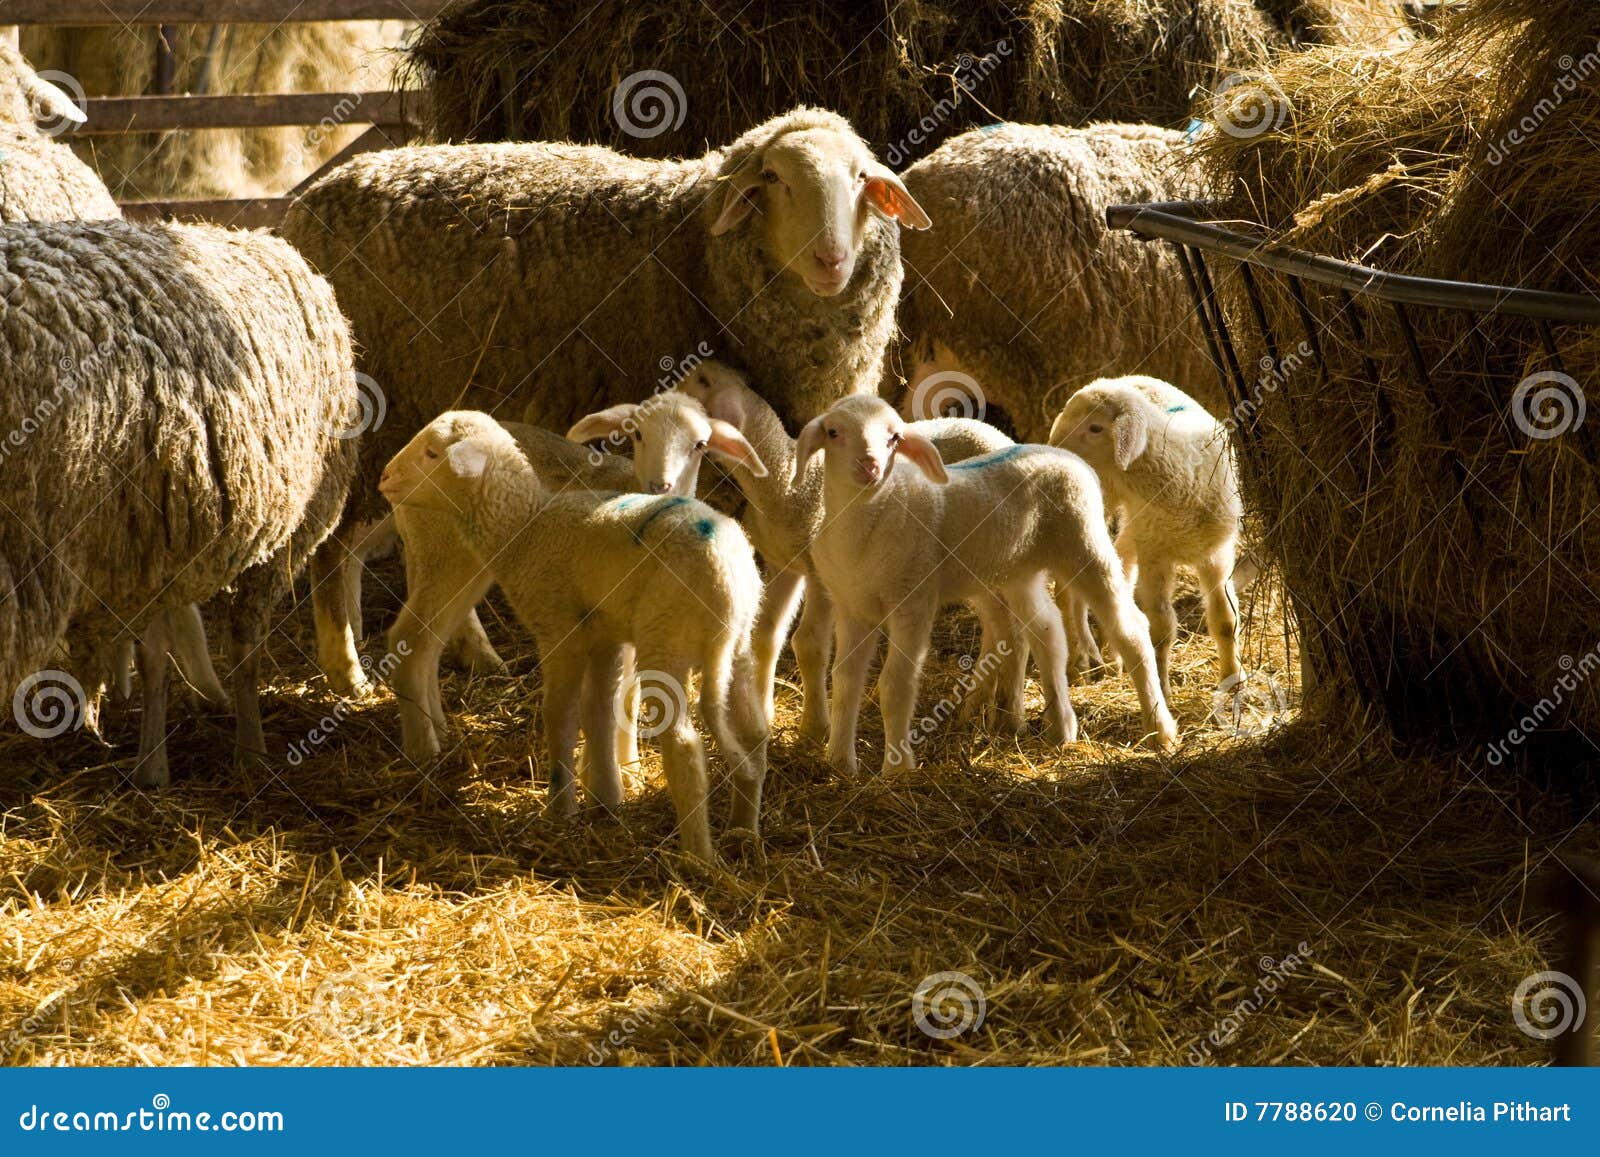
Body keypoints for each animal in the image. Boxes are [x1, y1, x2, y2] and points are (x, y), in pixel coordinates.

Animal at [279, 106, 930, 696]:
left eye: (861, 178)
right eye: (773, 177)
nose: (831, 260)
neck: (695, 250)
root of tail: (307, 204)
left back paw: (472, 656)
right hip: (365, 419)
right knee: (332, 549)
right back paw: (346, 669)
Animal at [379, 411, 769, 861]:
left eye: (431, 453)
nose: (384, 477)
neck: (528, 525)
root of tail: (725, 581)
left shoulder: (559, 628)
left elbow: (561, 714)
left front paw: (562, 807)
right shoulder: (604, 638)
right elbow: (599, 711)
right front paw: (606, 797)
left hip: (664, 641)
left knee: (685, 744)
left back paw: (697, 855)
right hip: (739, 647)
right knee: (755, 732)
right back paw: (744, 829)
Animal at [567, 360, 1028, 740]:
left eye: (704, 381)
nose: (667, 383)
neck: (782, 481)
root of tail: (993, 431)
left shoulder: (821, 574)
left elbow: (808, 644)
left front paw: (814, 727)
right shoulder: (783, 563)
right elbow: (767, 635)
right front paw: (766, 714)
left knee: (1013, 627)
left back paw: (1011, 714)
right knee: (998, 625)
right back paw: (978, 706)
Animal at [797, 395, 1178, 774]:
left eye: (894, 438)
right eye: (833, 432)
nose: (870, 466)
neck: (872, 516)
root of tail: (1066, 456)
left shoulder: (913, 602)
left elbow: (894, 684)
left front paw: (897, 769)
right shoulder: (852, 607)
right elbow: (845, 680)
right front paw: (840, 762)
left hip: (1085, 546)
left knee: (1131, 630)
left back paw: (1159, 730)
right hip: (1020, 571)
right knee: (1047, 630)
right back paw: (1061, 728)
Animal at [1048, 375, 1243, 701]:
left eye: (1095, 427)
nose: (1054, 451)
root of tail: (1123, 377)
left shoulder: (1216, 553)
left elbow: (1225, 618)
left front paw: (1233, 677)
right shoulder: (1156, 557)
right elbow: (1161, 628)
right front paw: (1162, 686)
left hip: (1135, 520)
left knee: (1122, 557)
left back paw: (1110, 654)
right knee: (1067, 591)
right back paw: (1080, 660)